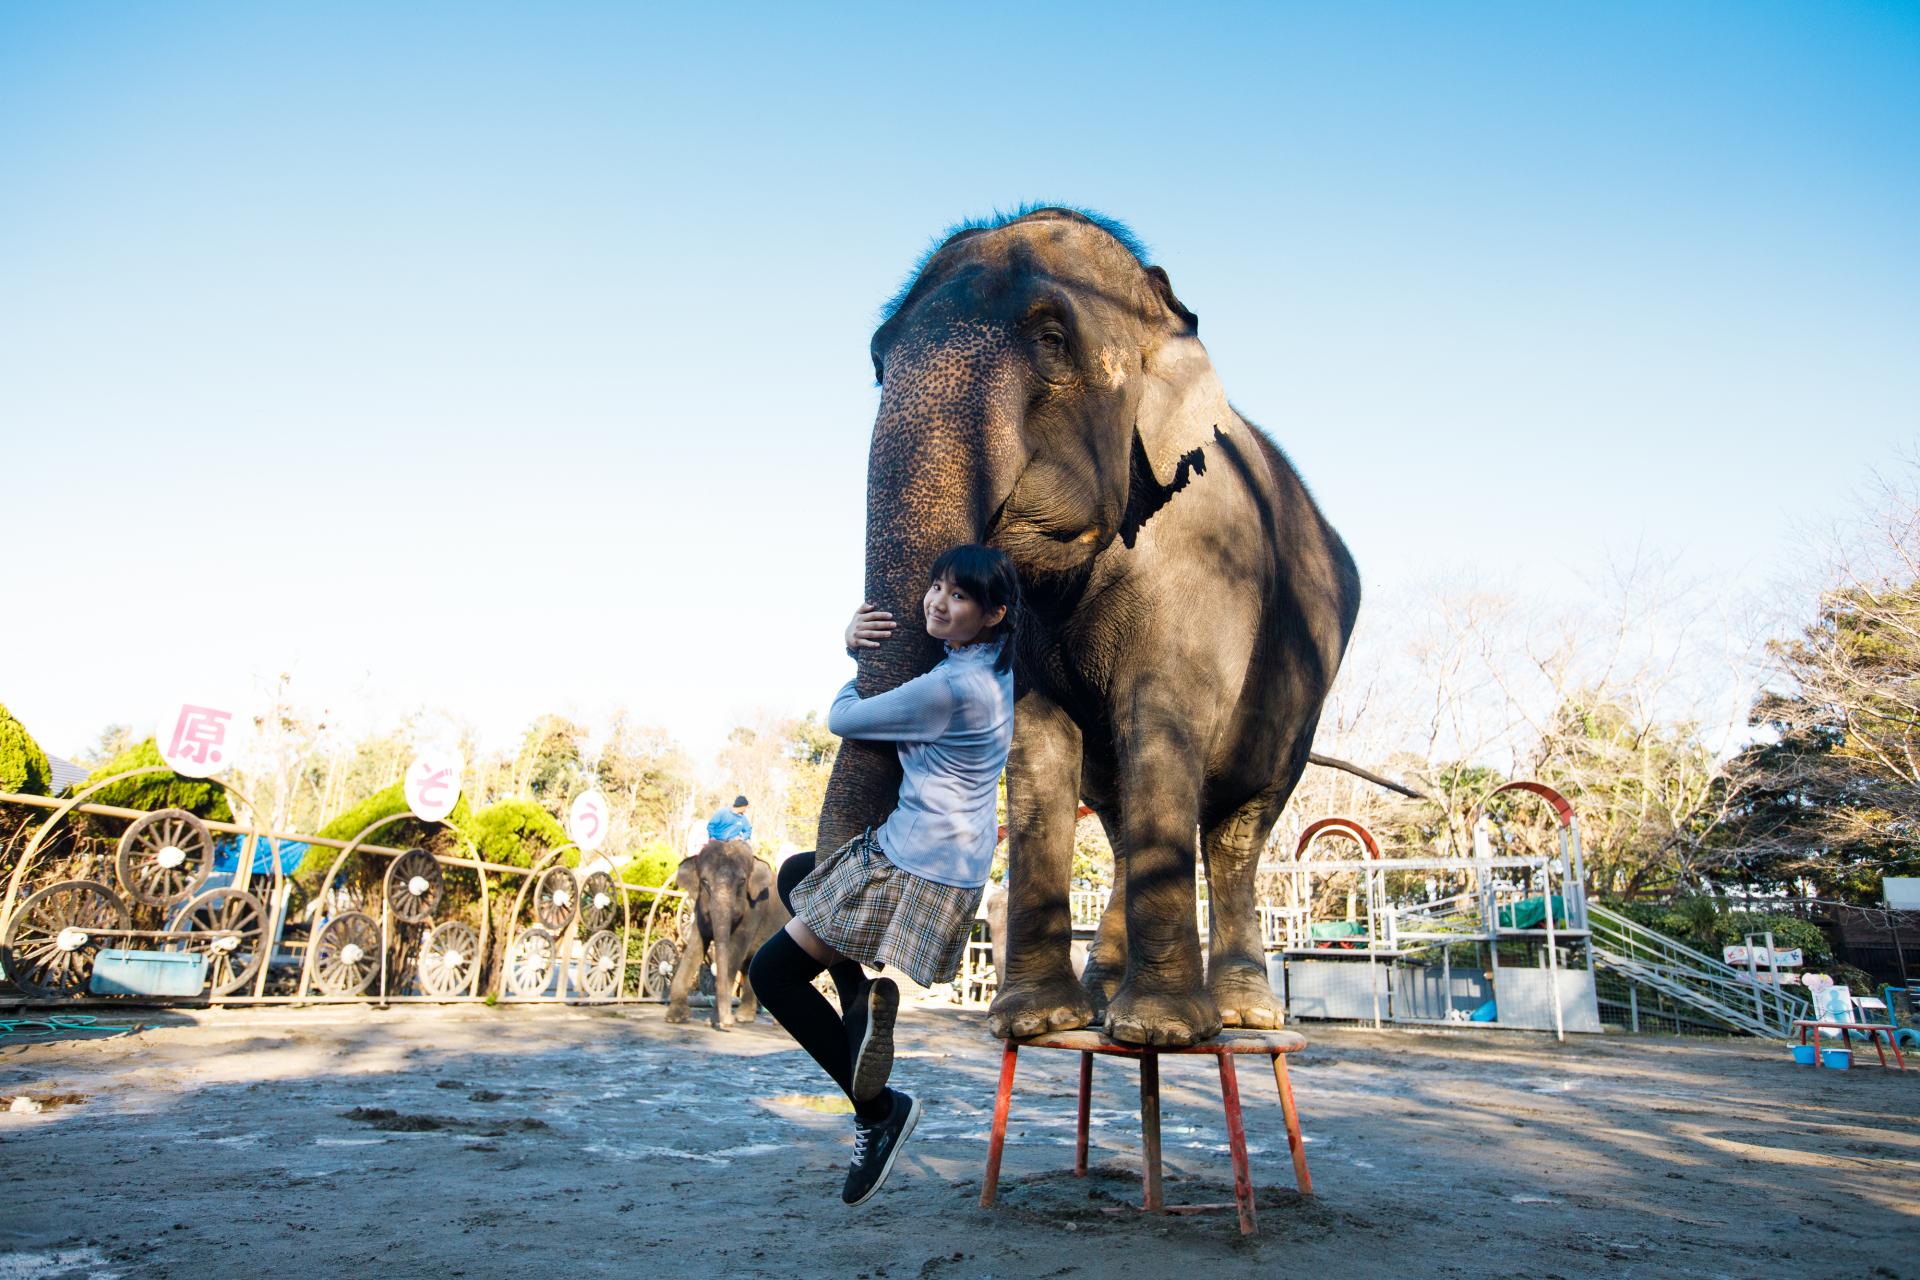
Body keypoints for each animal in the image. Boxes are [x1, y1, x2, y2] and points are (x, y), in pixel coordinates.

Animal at [664, 839, 787, 1030]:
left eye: (742, 881)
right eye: (704, 881)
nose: (727, 1021)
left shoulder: (754, 911)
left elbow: (734, 951)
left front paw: (715, 1021)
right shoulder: (699, 909)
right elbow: (695, 947)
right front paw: (675, 1018)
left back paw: (774, 1023)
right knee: (748, 966)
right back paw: (744, 1018)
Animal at [812, 206, 1360, 1047]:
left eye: (1051, 340)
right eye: (877, 362)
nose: (867, 980)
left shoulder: (1205, 558)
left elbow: (1161, 718)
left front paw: (1163, 1034)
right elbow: (1037, 739)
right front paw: (1035, 1024)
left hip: (1304, 697)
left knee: (1240, 824)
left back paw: (1240, 1014)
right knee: (1127, 818)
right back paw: (1105, 1001)